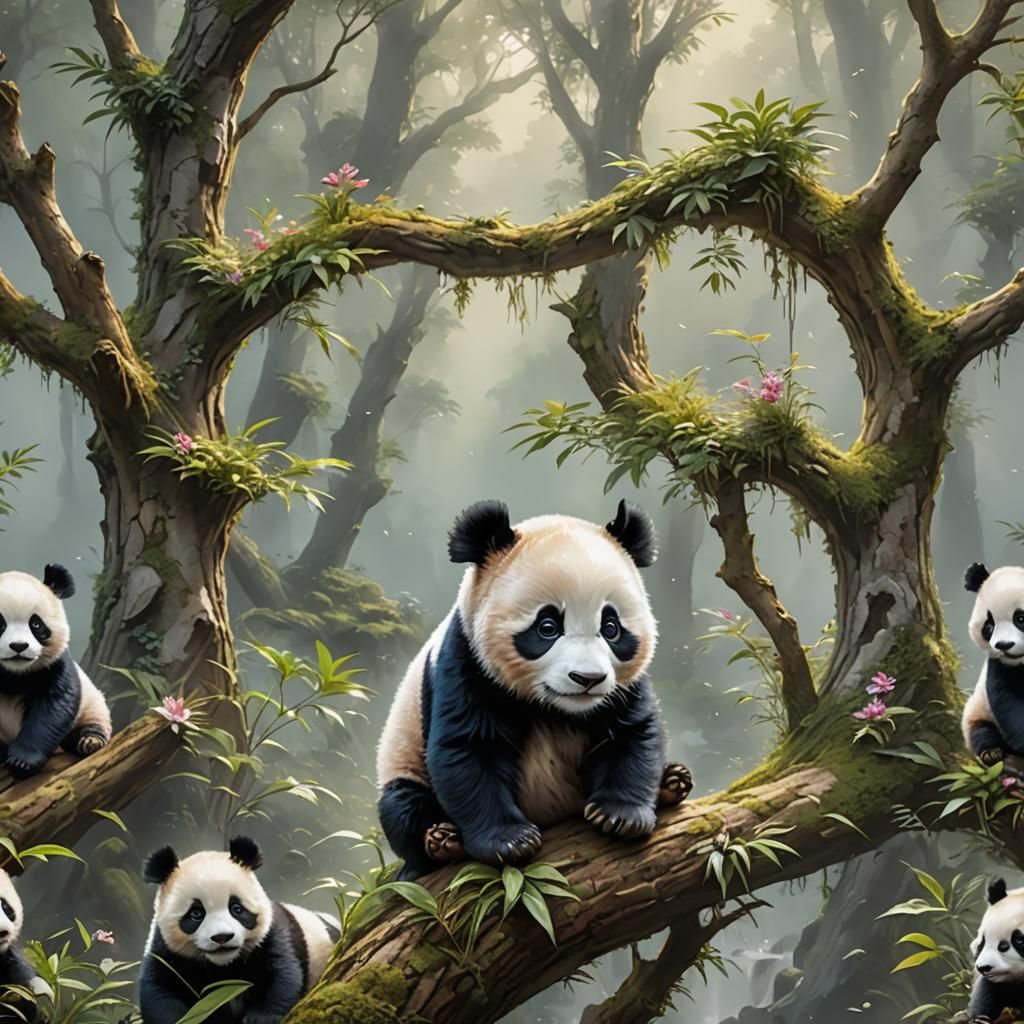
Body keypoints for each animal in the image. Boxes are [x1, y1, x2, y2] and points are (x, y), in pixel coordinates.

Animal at [0, 564, 111, 778]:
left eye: (36, 624)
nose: (18, 646)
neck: (13, 673)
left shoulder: (54, 666)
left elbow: (54, 705)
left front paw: (22, 760)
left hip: (92, 706)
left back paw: (88, 741)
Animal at [138, 836, 340, 1024]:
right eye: (196, 913)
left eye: (236, 908)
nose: (221, 937)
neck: (224, 965)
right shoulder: (167, 952)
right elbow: (159, 990)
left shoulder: (272, 934)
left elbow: (284, 975)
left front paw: (261, 1018)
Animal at [376, 499, 692, 881]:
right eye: (548, 626)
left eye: (611, 627)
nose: (587, 678)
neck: (552, 707)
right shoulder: (467, 665)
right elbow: (469, 749)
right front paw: (510, 841)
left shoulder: (621, 688)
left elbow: (632, 733)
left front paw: (620, 815)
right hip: (405, 761)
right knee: (403, 806)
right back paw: (441, 842)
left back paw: (672, 782)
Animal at [961, 562, 1024, 769]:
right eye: (989, 627)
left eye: (1020, 618)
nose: (1004, 645)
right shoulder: (1000, 668)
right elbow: (1009, 704)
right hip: (978, 713)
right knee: (982, 732)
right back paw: (992, 752)